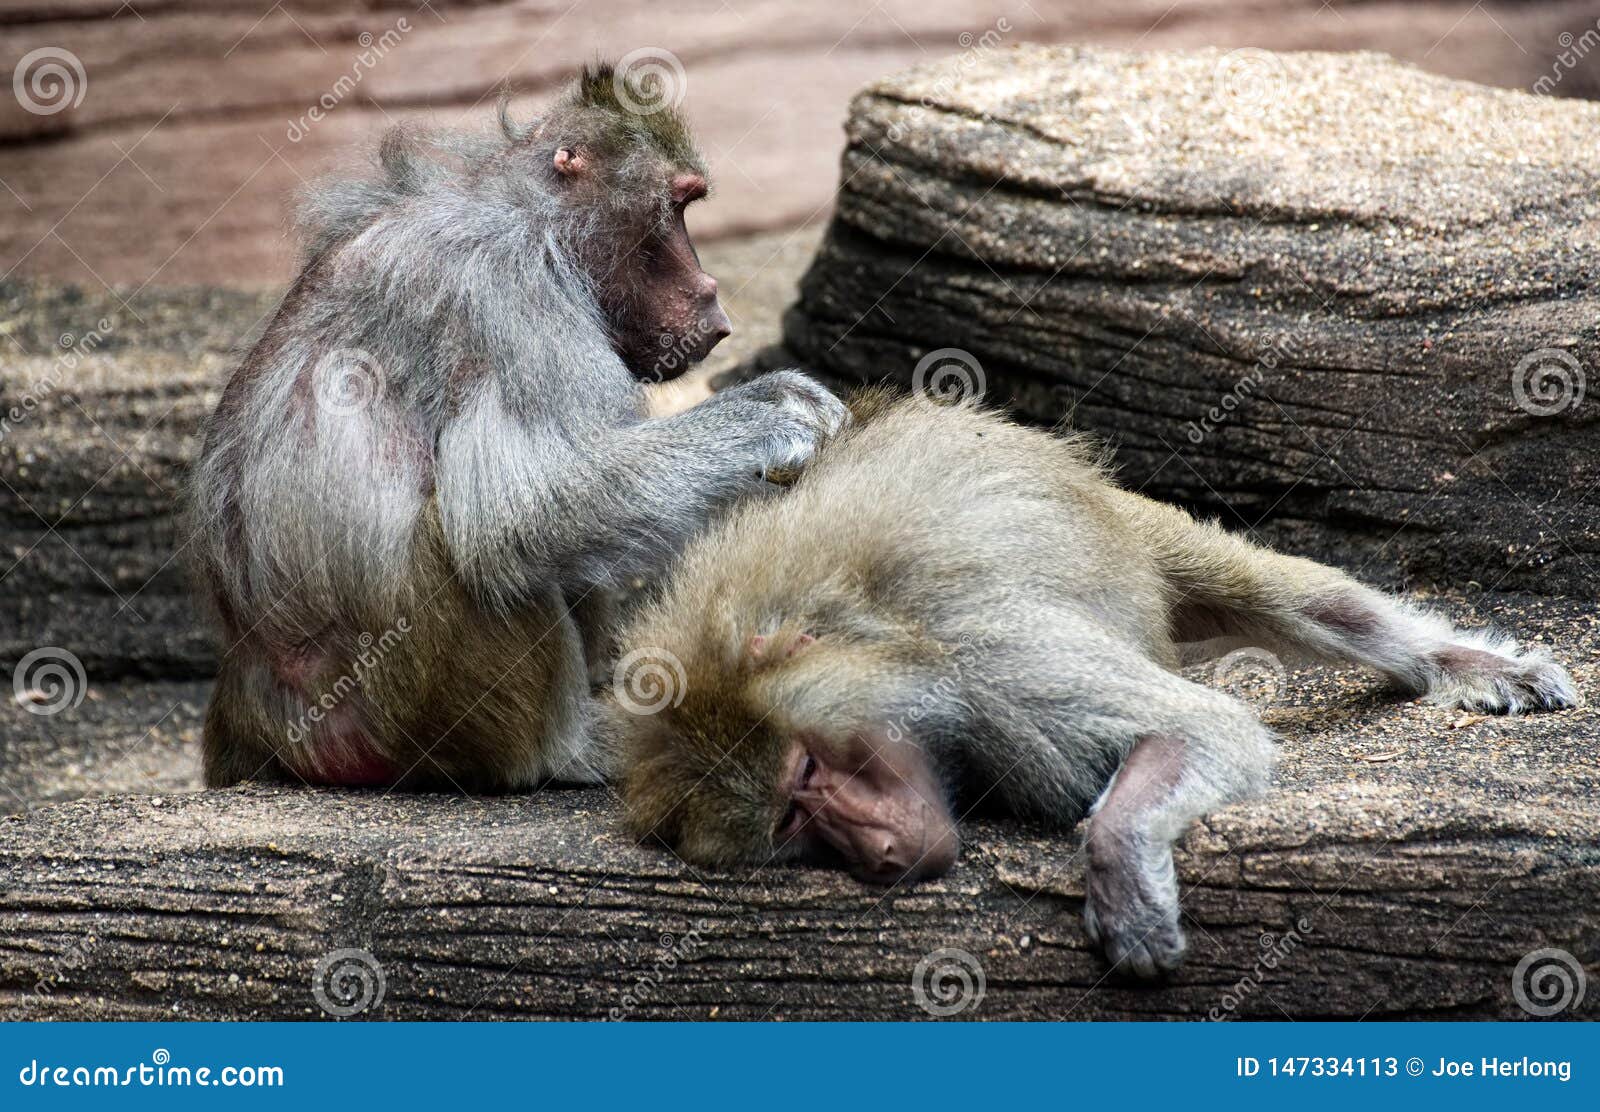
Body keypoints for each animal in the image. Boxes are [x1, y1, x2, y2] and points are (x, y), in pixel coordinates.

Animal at [189, 63, 849, 792]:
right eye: (678, 207)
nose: (713, 300)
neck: (525, 209)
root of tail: (262, 713)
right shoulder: (508, 285)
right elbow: (514, 513)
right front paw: (763, 418)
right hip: (416, 707)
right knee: (475, 538)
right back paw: (573, 748)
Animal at [608, 390, 1577, 977]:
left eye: (808, 770)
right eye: (789, 822)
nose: (876, 853)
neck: (878, 634)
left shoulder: (992, 657)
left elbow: (1202, 727)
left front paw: (1123, 885)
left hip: (1131, 526)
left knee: (1305, 603)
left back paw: (1468, 666)